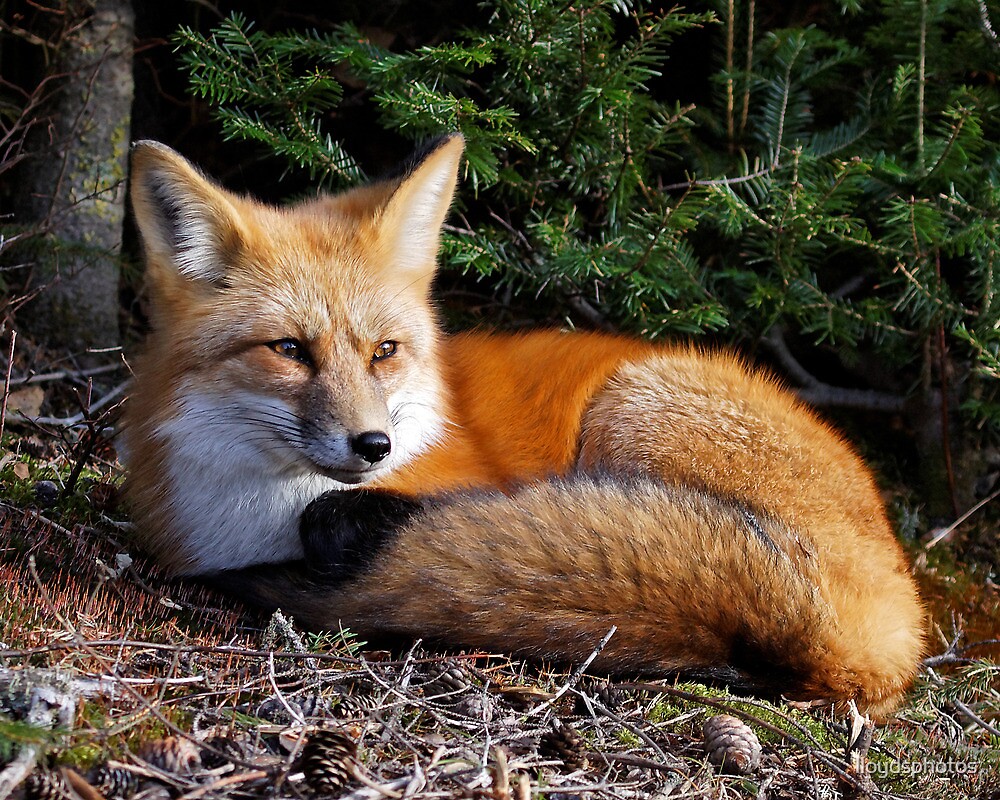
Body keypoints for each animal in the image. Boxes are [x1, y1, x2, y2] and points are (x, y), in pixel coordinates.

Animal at [123, 135, 925, 718]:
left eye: (384, 351)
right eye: (289, 350)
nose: (374, 446)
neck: (257, 517)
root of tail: (904, 616)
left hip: (634, 405)